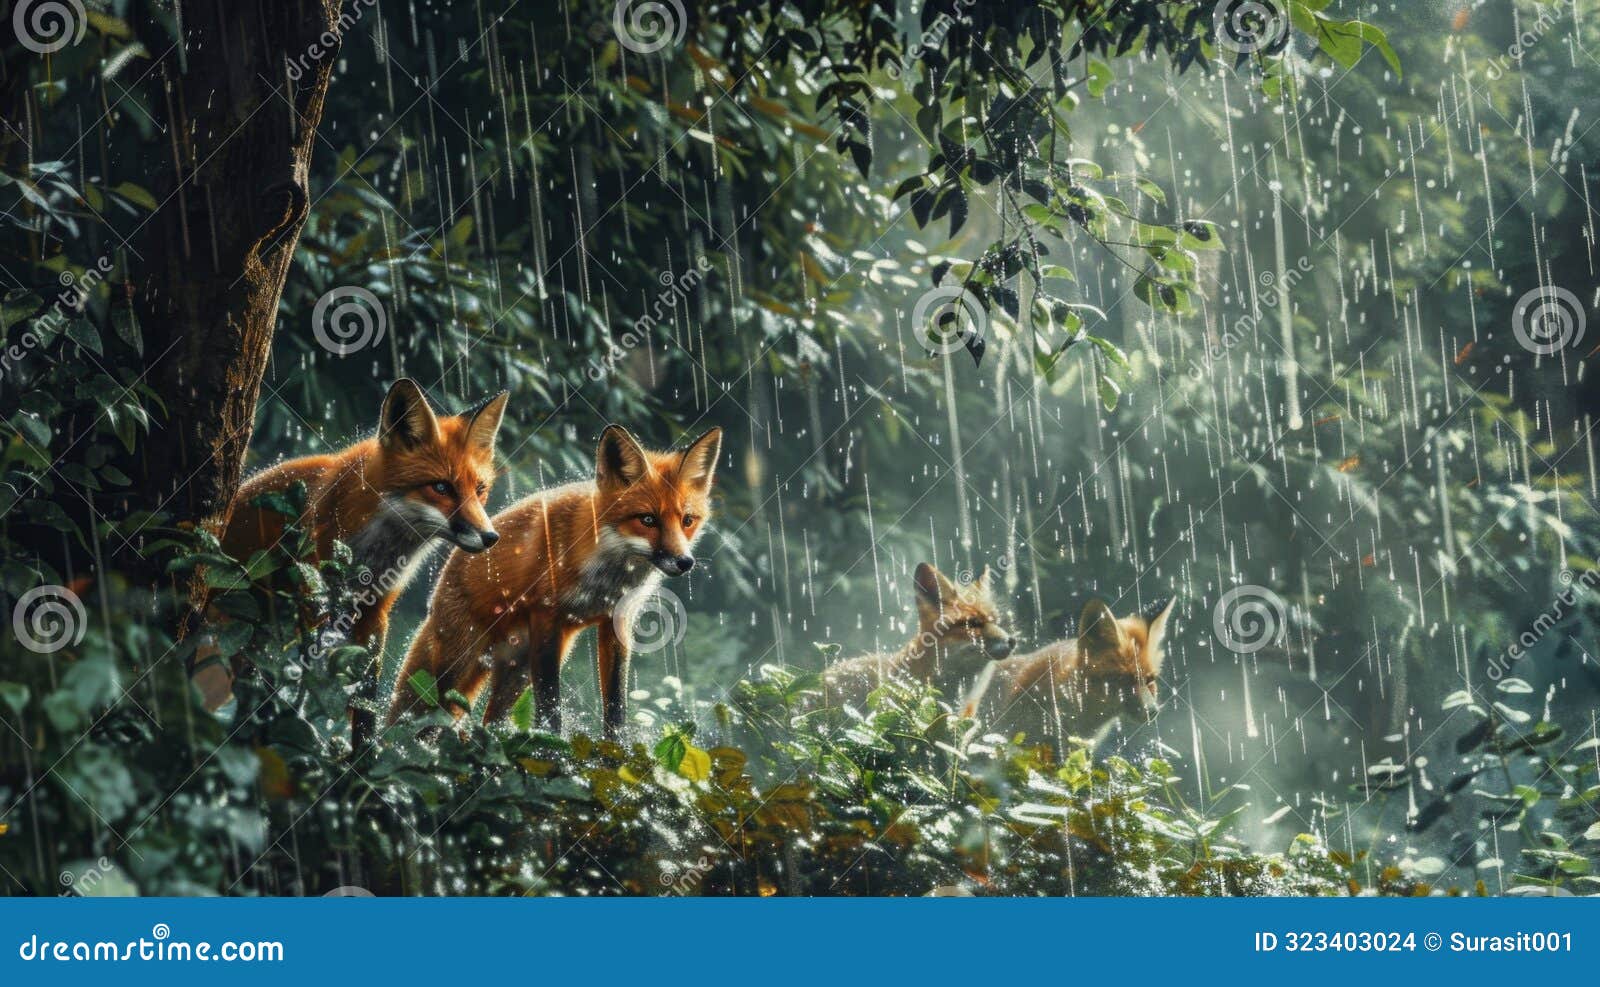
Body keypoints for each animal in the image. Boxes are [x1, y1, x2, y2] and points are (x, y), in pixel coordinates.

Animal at [195, 378, 509, 729]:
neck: (375, 552)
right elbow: (306, 679)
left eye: (480, 490)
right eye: (441, 488)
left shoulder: (376, 611)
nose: (490, 537)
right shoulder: (312, 600)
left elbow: (365, 701)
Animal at [387, 424, 723, 739]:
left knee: (488, 721)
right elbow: (550, 702)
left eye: (687, 521)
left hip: (515, 673)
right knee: (415, 720)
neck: (607, 575)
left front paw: (616, 750)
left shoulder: (616, 621)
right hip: (454, 669)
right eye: (648, 520)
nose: (685, 562)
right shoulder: (547, 616)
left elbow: (616, 703)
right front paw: (550, 747)